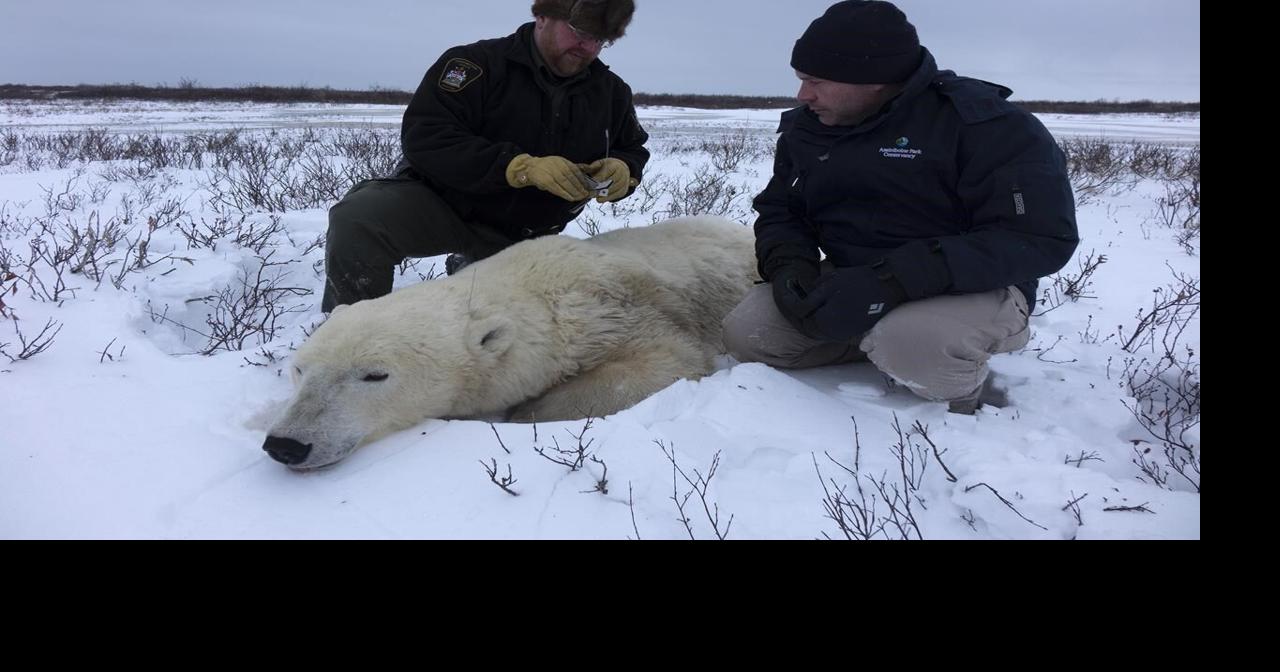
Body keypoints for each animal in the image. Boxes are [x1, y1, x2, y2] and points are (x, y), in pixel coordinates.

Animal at [263, 215, 757, 470]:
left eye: (374, 375)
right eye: (300, 369)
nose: (286, 444)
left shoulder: (618, 310)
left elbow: (667, 360)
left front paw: (523, 413)